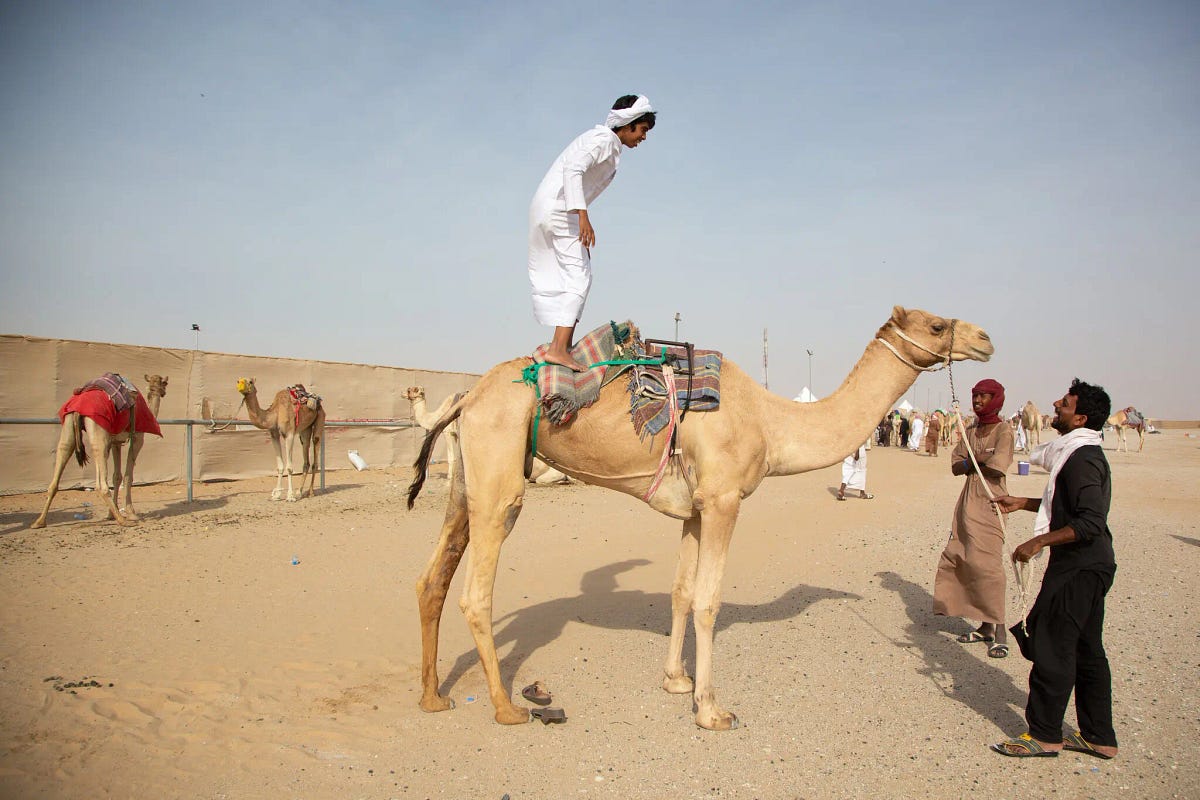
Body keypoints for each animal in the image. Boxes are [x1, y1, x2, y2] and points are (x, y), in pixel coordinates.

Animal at [31, 374, 168, 529]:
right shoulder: (137, 438)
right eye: (165, 383)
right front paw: (131, 513)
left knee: (63, 452)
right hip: (98, 429)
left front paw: (111, 514)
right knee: (100, 482)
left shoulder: (115, 442)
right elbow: (128, 476)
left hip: (69, 424)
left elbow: (117, 476)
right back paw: (123, 521)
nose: (163, 392)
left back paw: (39, 521)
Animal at [407, 307, 993, 730]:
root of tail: (467, 395)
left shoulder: (693, 509)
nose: (986, 338)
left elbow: (681, 593)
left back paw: (432, 697)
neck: (770, 421)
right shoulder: (723, 499)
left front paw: (676, 681)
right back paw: (507, 708)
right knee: (476, 591)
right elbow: (710, 600)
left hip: (466, 479)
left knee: (433, 578)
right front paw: (712, 710)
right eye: (937, 324)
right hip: (500, 472)